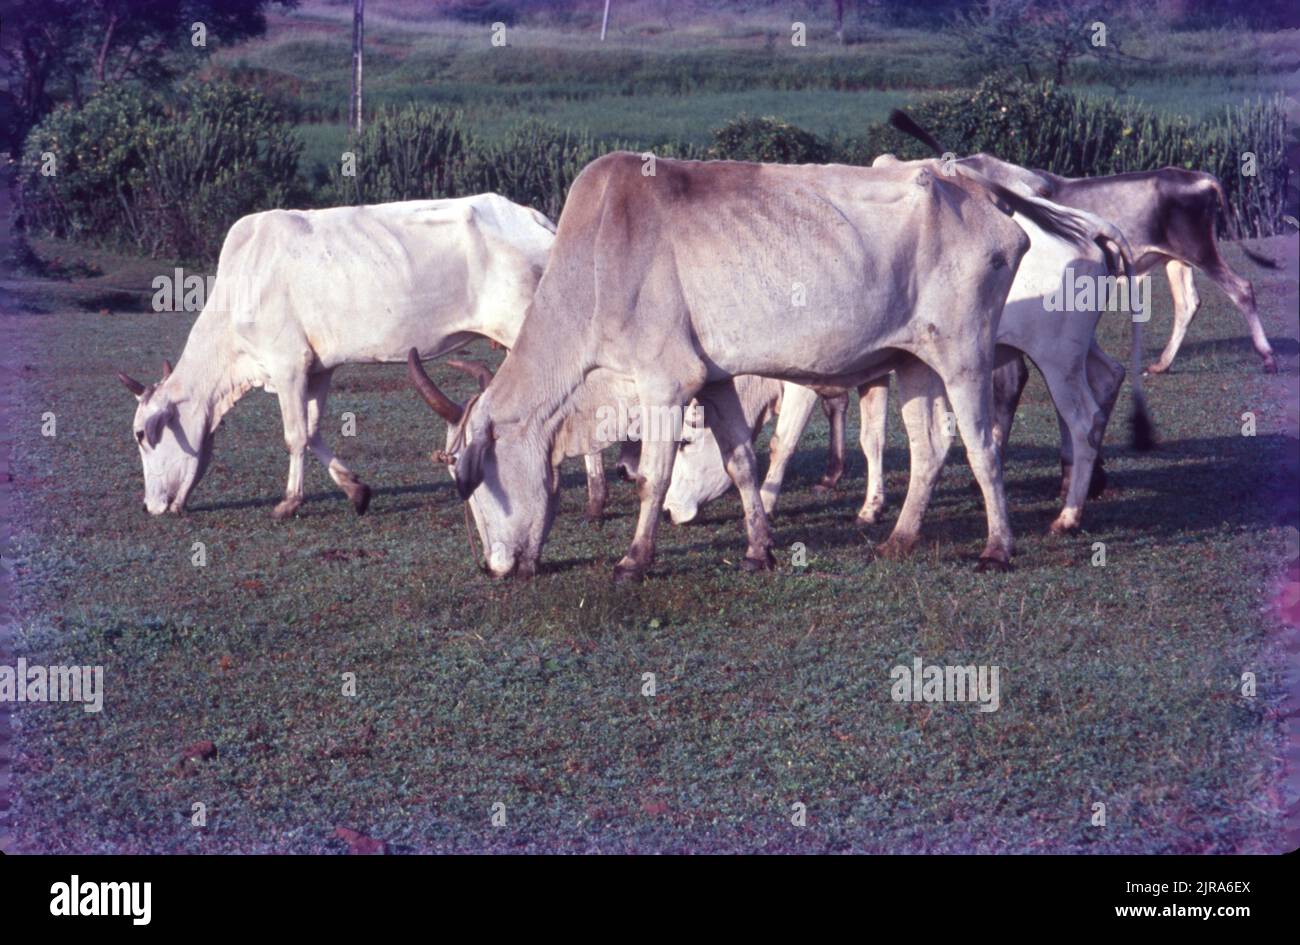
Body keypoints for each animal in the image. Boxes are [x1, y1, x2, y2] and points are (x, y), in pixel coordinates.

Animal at [116, 194, 582, 519]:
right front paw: (356, 491)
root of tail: (536, 218)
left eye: (140, 435)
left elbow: (294, 435)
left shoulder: (287, 365)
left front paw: (289, 503)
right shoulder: (318, 368)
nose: (148, 506)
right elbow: (313, 430)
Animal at [406, 151, 1128, 581]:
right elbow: (743, 463)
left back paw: (1009, 540)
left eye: (474, 480)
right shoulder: (717, 381)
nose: (496, 567)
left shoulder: (664, 382)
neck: (600, 250)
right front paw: (759, 544)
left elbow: (655, 476)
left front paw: (635, 558)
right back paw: (899, 536)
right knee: (930, 447)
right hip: (915, 362)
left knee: (996, 439)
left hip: (968, 354)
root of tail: (966, 179)